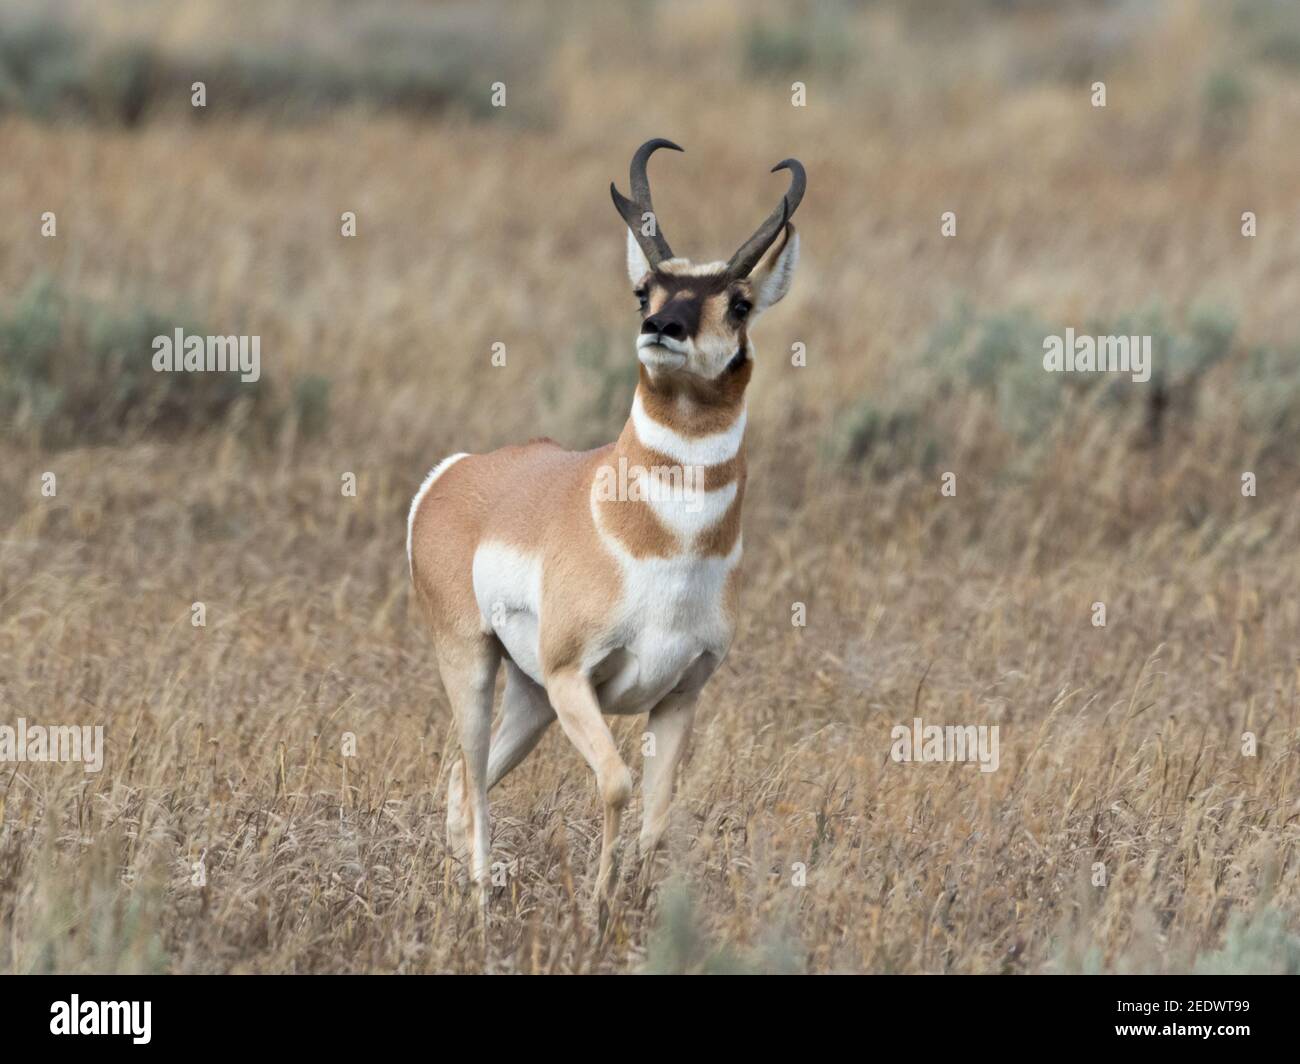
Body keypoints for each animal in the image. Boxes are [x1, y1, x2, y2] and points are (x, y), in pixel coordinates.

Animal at [408, 139, 804, 898]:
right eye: (645, 290)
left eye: (739, 303)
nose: (662, 329)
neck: (659, 542)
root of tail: (456, 471)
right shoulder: (575, 677)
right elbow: (618, 785)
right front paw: (596, 903)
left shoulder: (680, 694)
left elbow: (658, 812)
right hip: (474, 663)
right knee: (471, 779)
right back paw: (481, 897)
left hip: (529, 697)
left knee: (460, 782)